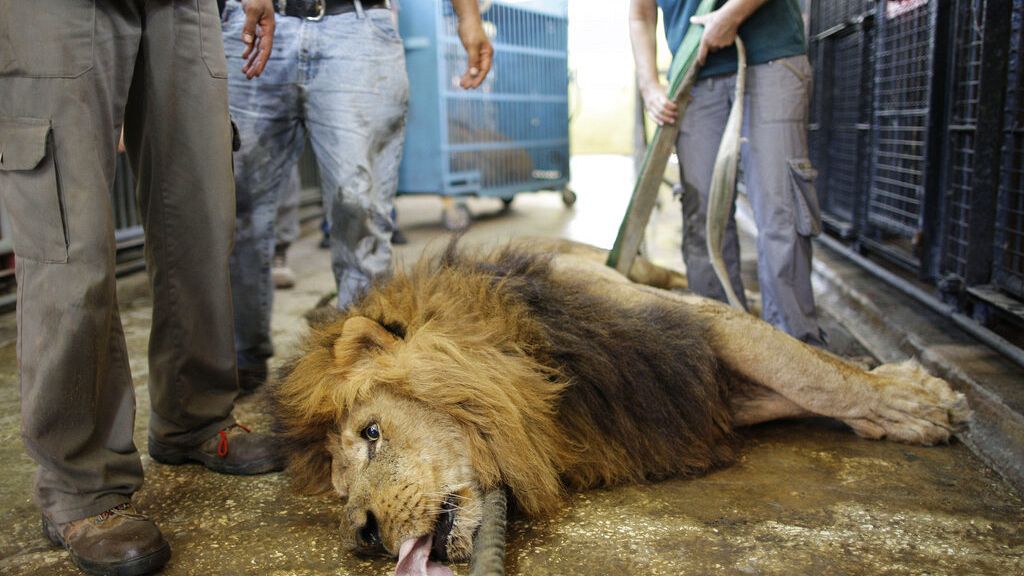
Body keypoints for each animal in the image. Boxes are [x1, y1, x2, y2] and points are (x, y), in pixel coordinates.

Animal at [271, 238, 970, 575]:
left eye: (370, 432)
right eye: (339, 491)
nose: (360, 535)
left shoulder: (694, 331)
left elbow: (817, 371)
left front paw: (914, 400)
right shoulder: (700, 396)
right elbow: (803, 383)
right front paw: (900, 400)